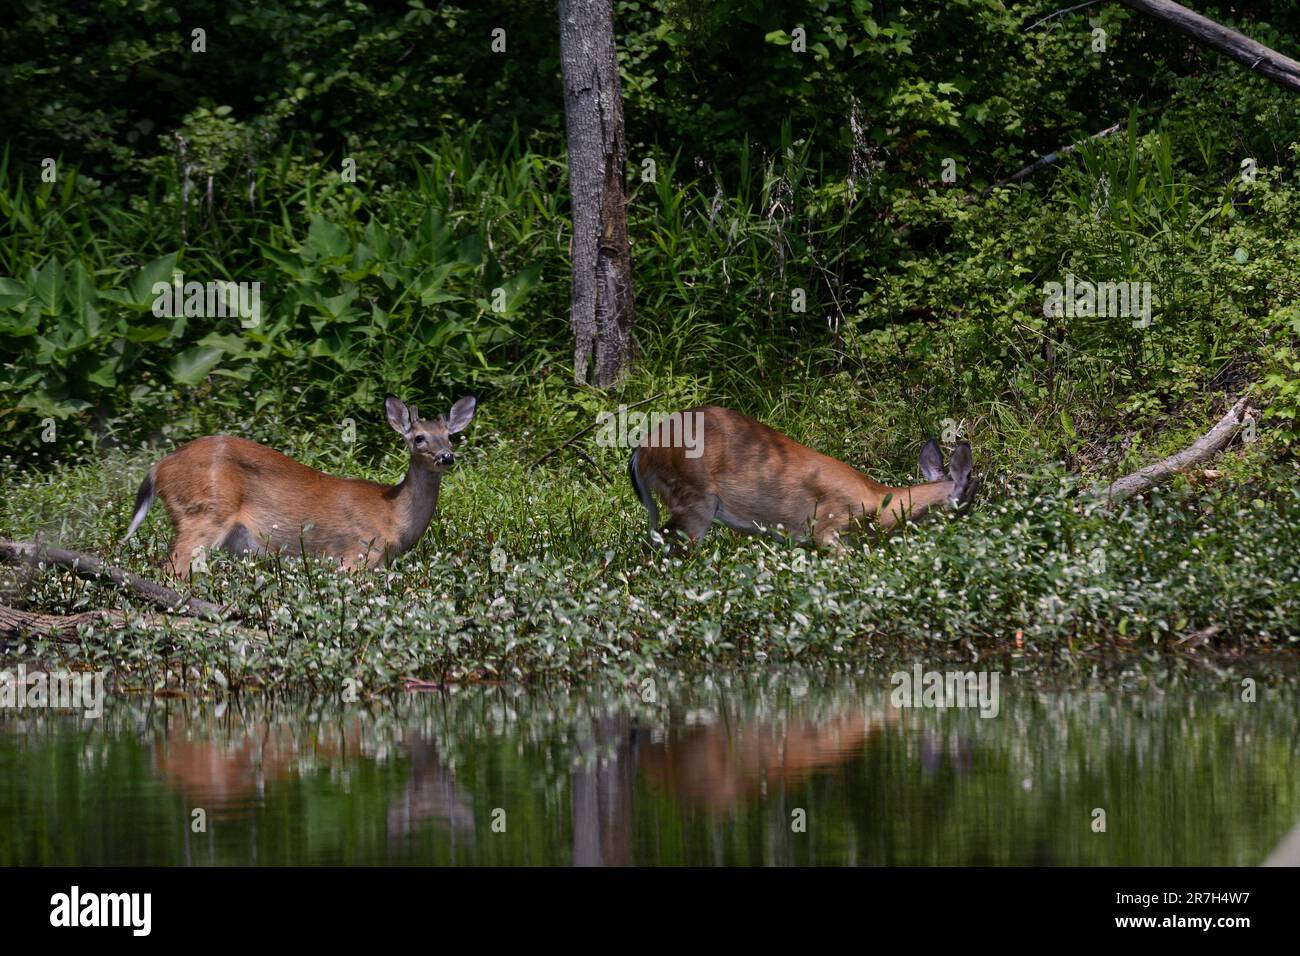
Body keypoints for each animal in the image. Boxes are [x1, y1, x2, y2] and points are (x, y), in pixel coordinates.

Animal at [124, 395, 476, 577]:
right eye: (419, 438)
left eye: (449, 436)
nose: (447, 456)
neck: (392, 512)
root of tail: (158, 468)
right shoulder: (355, 554)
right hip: (204, 512)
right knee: (173, 567)